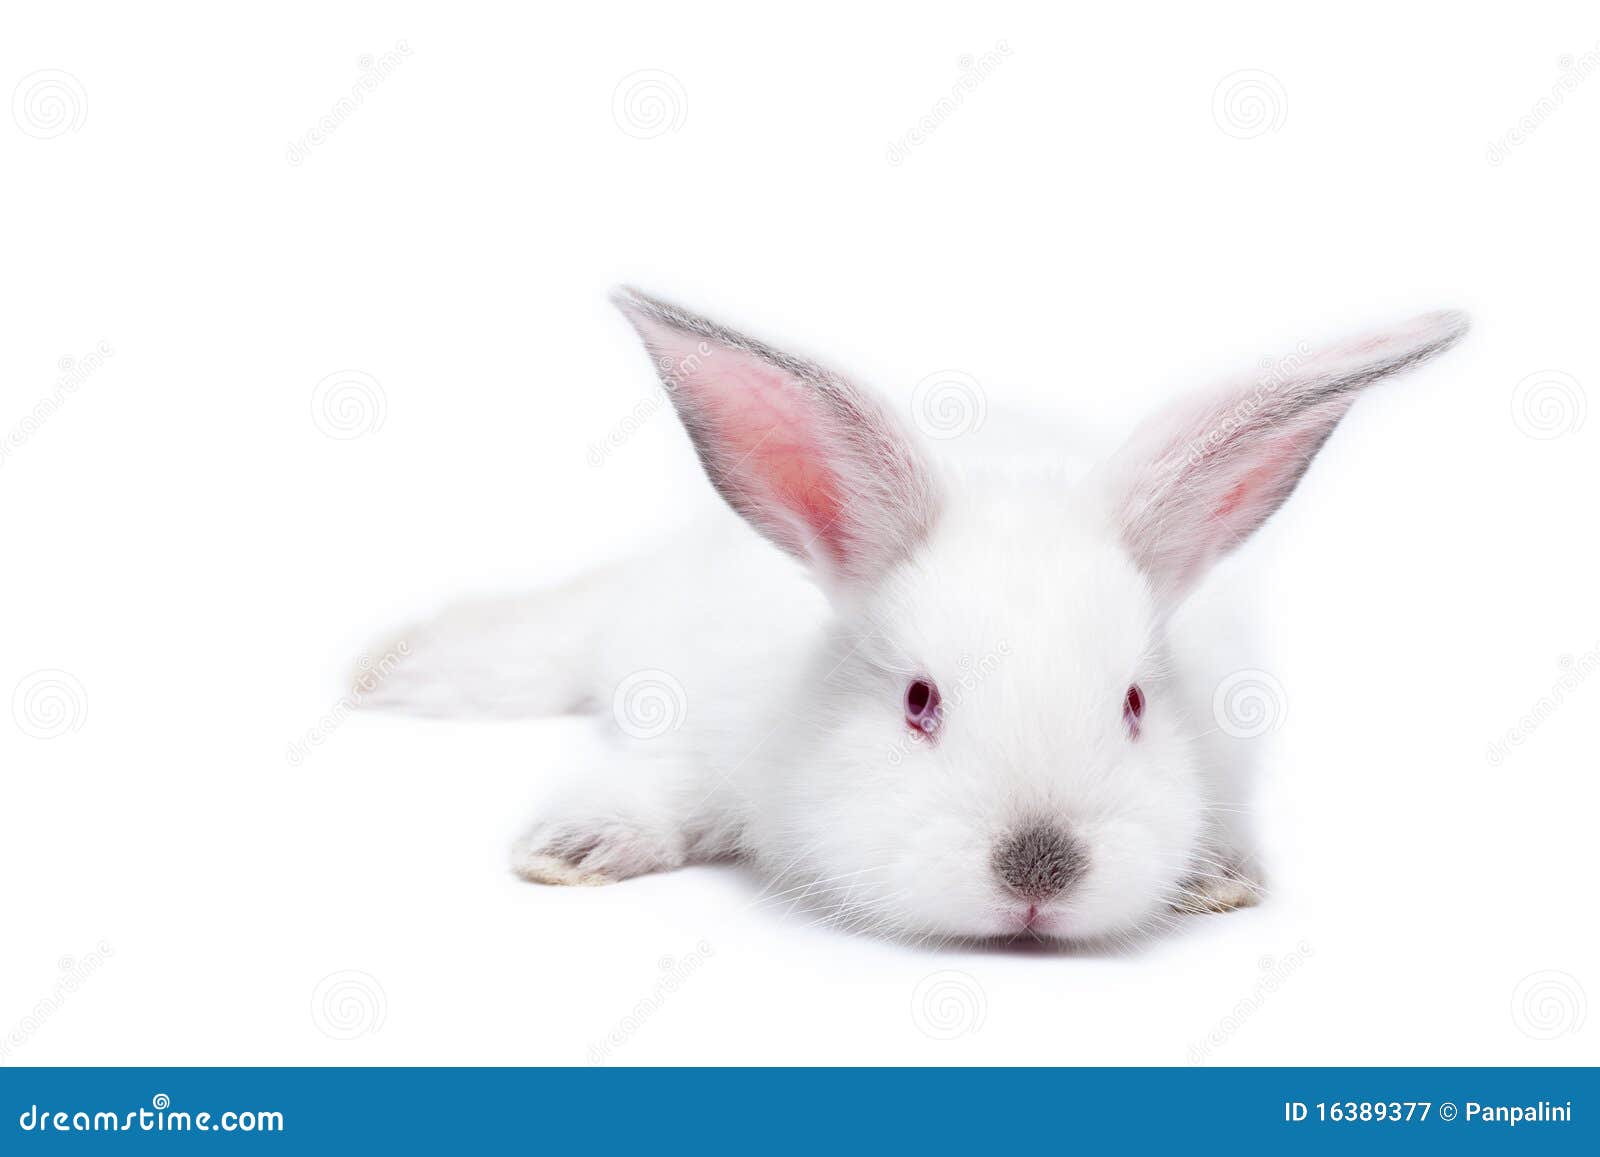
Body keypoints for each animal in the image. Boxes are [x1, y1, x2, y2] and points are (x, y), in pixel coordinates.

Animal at [360, 288, 1470, 943]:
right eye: (918, 700)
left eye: (1135, 705)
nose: (1038, 868)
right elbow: (653, 791)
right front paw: (572, 850)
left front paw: (1219, 876)